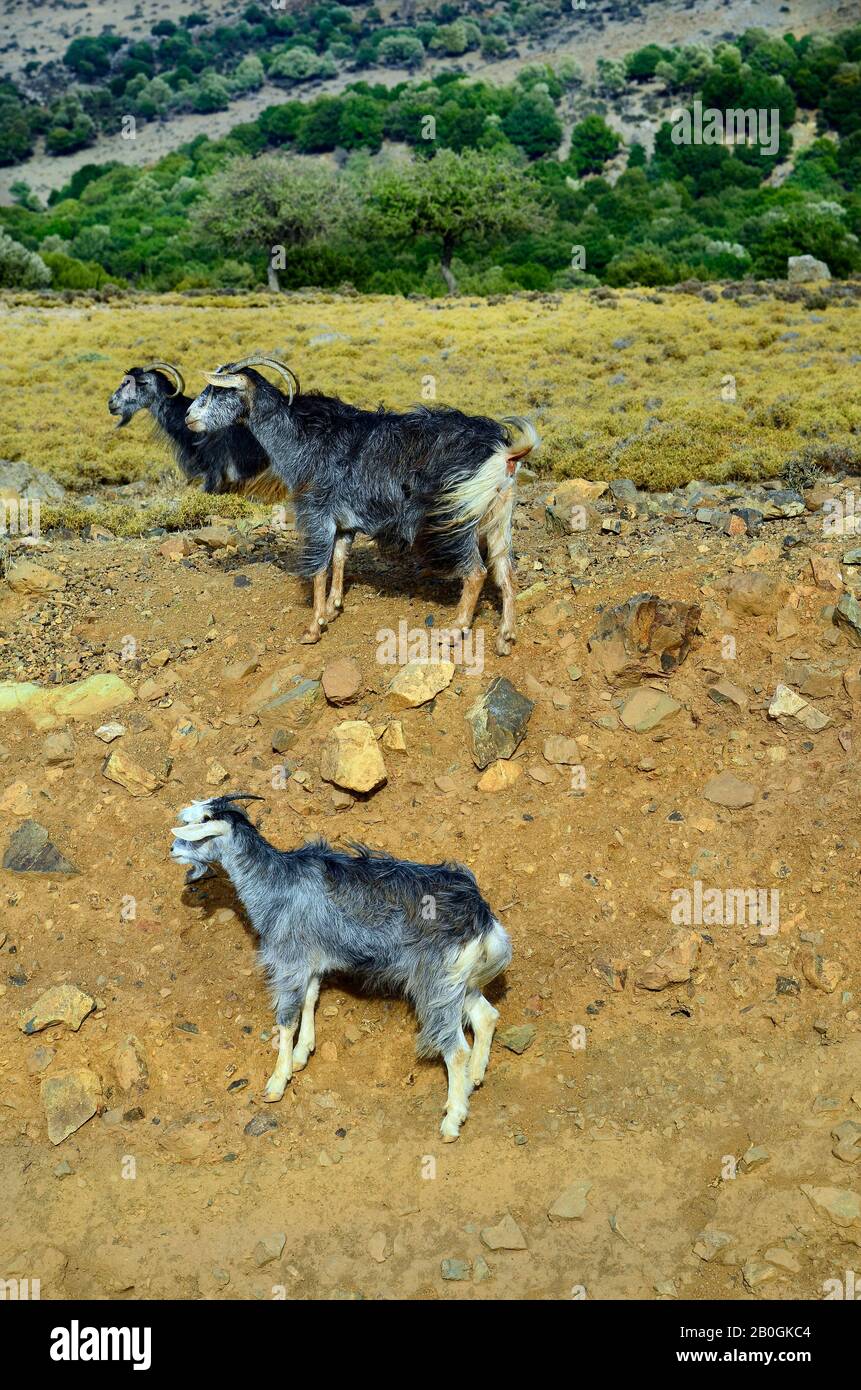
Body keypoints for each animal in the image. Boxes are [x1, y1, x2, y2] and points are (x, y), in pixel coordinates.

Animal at [170, 793, 512, 1140]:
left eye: (196, 827)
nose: (172, 849)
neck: (276, 882)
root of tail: (481, 917)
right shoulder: (312, 961)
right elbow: (309, 1000)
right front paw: (302, 1054)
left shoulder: (289, 961)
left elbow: (287, 1020)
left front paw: (277, 1082)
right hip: (458, 983)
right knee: (486, 1017)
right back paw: (474, 1078)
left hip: (435, 984)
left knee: (456, 1049)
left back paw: (452, 1119)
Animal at [184, 355, 538, 655]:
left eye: (219, 390)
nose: (188, 417)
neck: (300, 439)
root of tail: (505, 452)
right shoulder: (346, 524)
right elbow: (339, 560)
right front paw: (332, 609)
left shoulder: (316, 513)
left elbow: (318, 568)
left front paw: (313, 628)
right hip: (497, 517)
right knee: (505, 572)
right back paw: (505, 637)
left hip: (455, 517)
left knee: (476, 572)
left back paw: (455, 631)